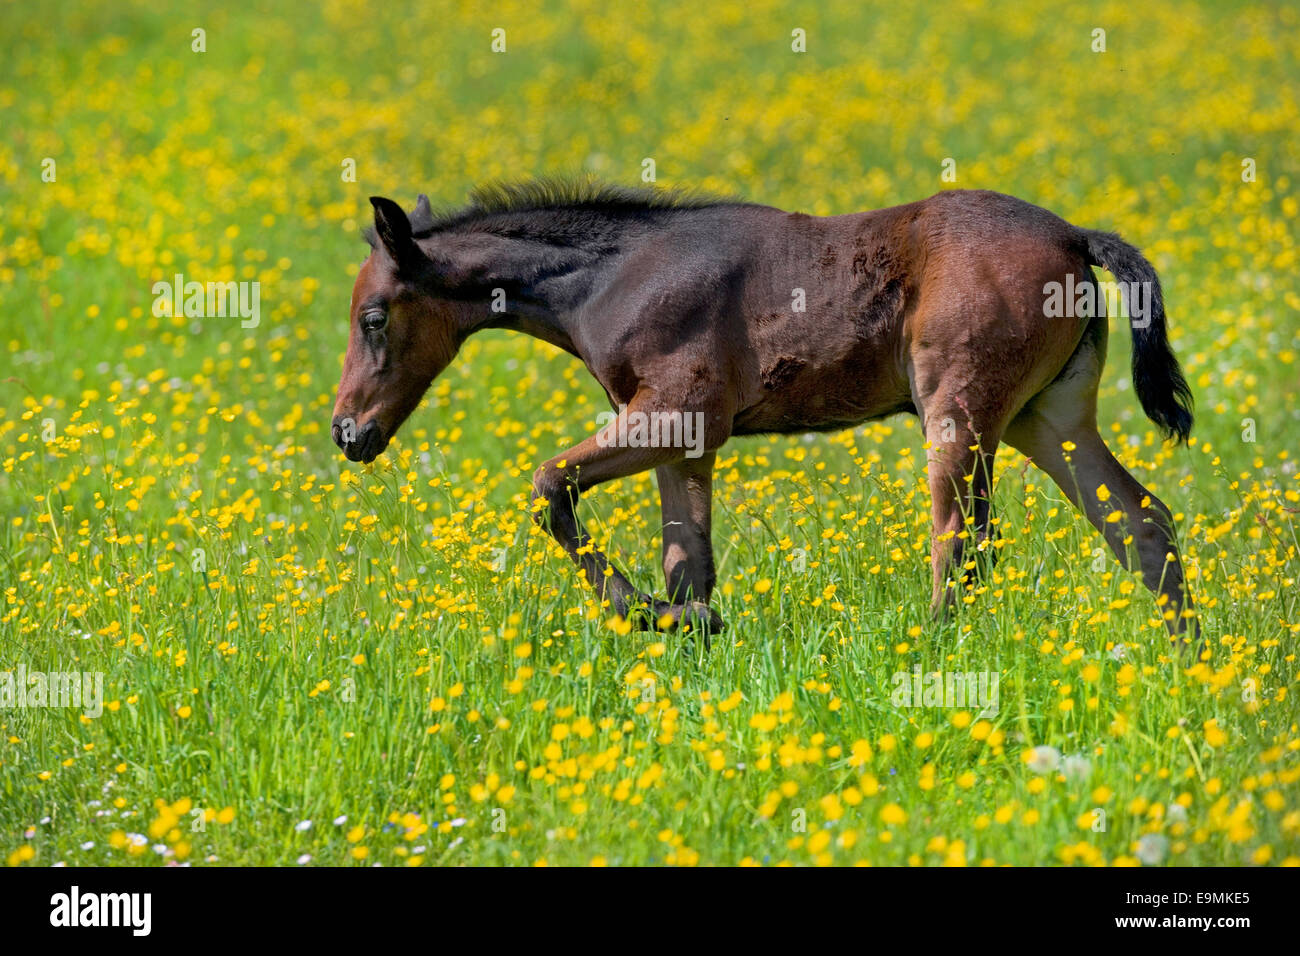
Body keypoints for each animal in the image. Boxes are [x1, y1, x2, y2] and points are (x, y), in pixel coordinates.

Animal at [332, 180, 1197, 645]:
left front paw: (660, 619)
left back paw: (932, 654)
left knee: (963, 541)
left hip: (960, 414)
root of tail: (1074, 235)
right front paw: (690, 627)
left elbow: (549, 486)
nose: (349, 433)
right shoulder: (685, 443)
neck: (611, 278)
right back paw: (1191, 657)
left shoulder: (674, 413)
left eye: (373, 318)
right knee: (1141, 520)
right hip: (1046, 418)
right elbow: (687, 561)